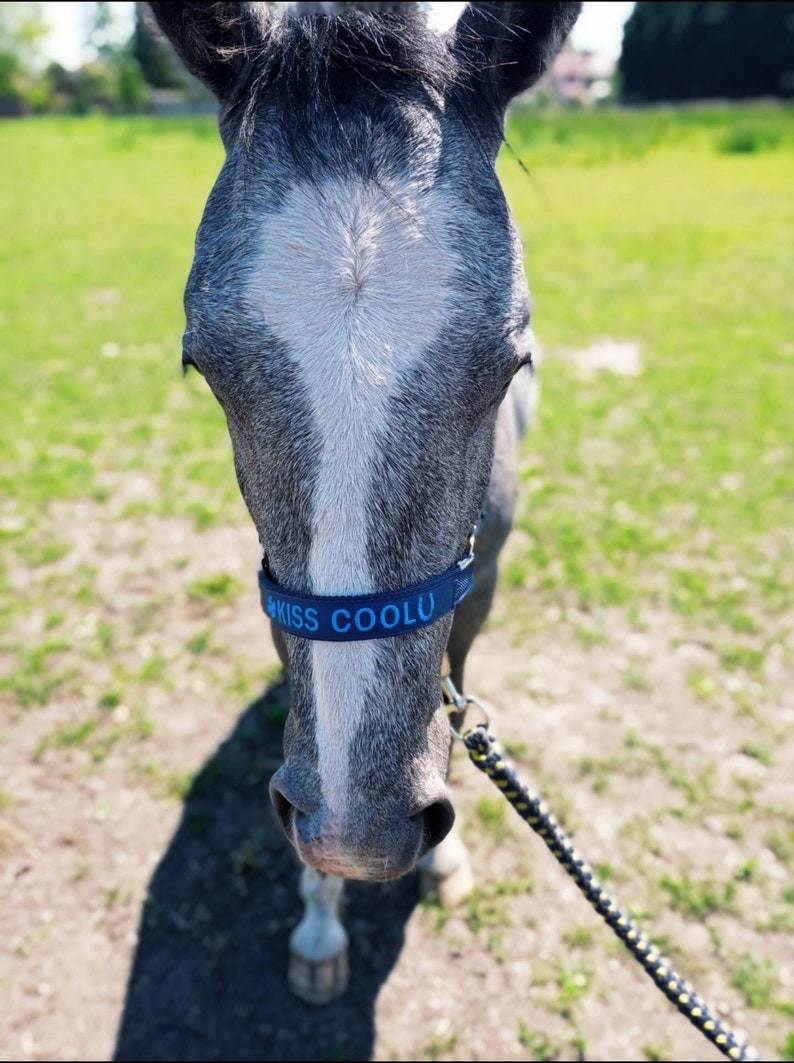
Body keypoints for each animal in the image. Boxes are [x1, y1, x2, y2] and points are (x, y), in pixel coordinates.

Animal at [148, 0, 580, 1002]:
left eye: (512, 362)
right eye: (202, 366)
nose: (363, 832)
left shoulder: (482, 580)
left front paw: (441, 861)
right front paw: (319, 923)